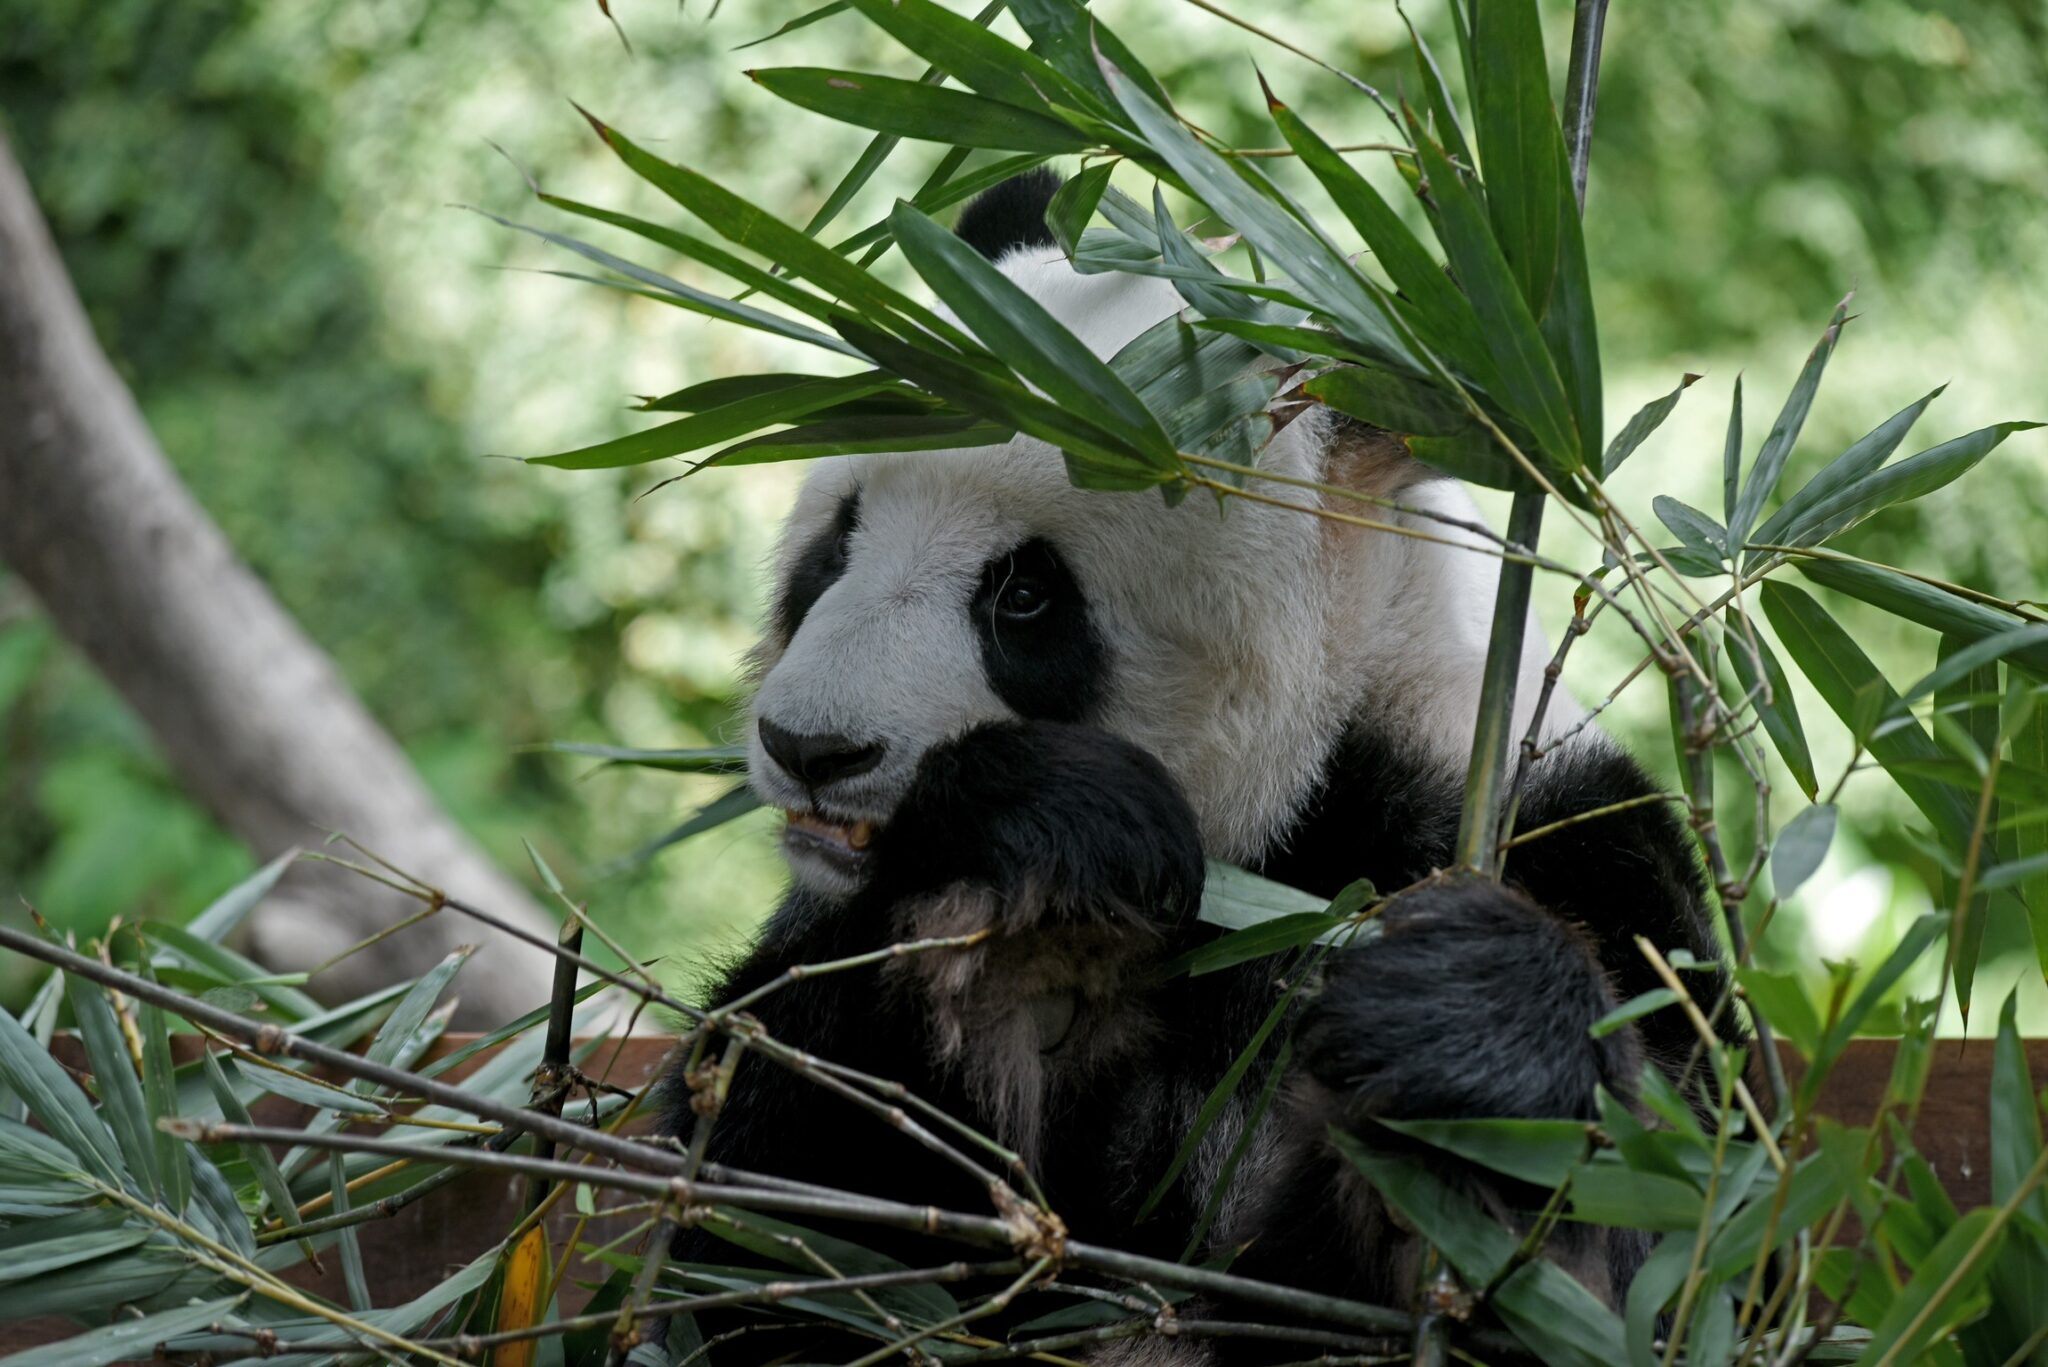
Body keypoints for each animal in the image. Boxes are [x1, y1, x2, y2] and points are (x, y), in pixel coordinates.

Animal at [661, 170, 1727, 1358]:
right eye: (837, 541)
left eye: (1024, 594)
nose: (811, 748)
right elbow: (779, 1232)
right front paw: (1028, 852)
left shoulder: (1550, 829)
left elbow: (1674, 1234)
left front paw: (1462, 1020)